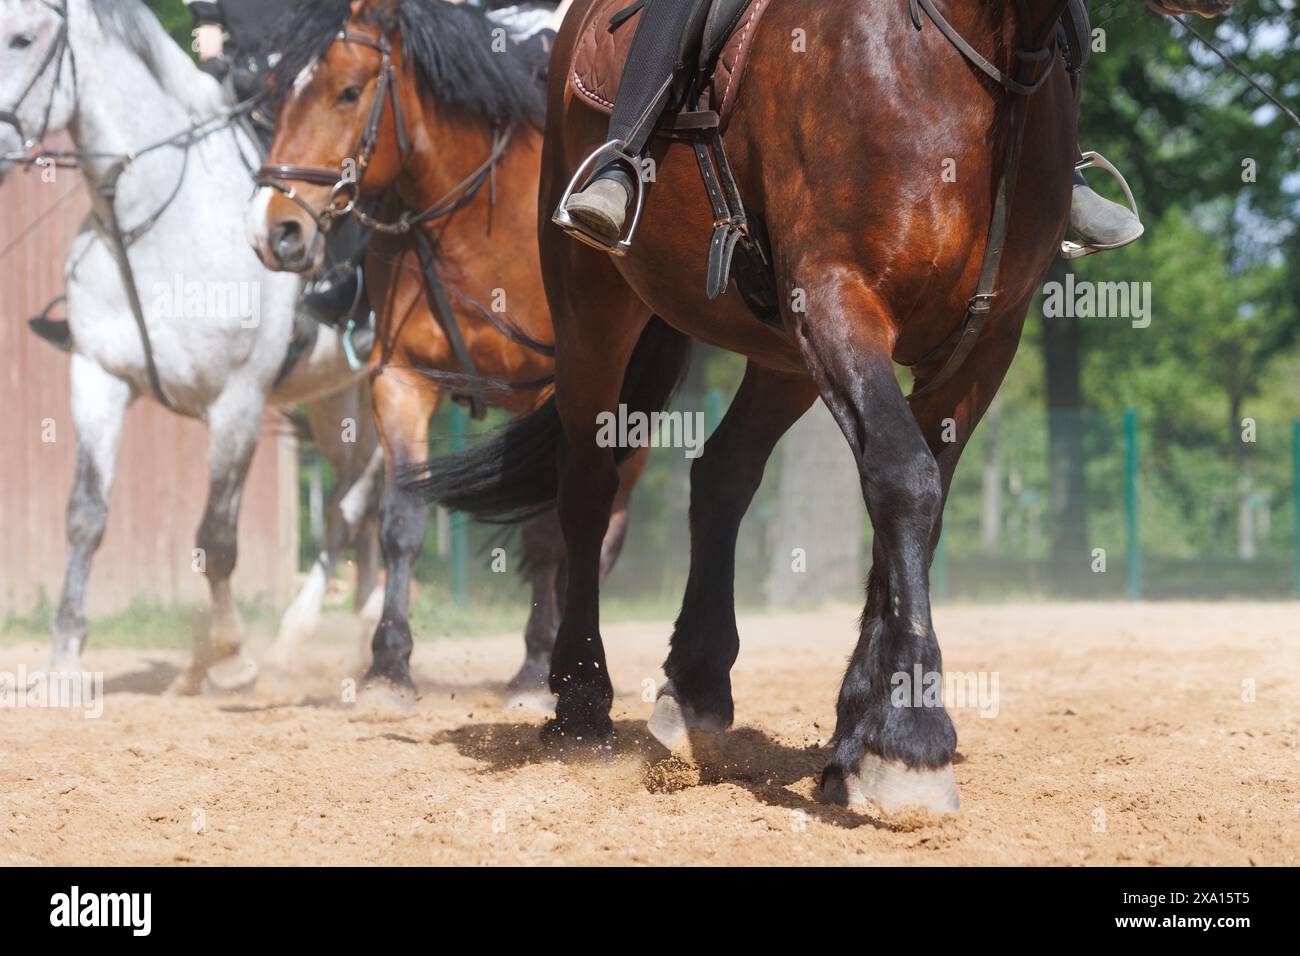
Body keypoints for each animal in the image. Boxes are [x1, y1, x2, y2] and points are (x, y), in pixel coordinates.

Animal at [0, 0, 384, 693]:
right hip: (337, 396)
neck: (156, 217)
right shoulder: (97, 380)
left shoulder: (237, 404)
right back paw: (351, 625)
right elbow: (85, 516)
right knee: (354, 498)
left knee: (370, 498)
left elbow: (219, 535)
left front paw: (228, 656)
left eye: (21, 39)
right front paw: (64, 655)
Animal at [248, 0, 647, 703]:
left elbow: (546, 533)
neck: (476, 230)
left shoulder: (551, 391)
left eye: (349, 91)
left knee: (605, 519)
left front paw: (535, 667)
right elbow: (401, 518)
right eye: (277, 90)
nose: (277, 231)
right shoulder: (399, 381)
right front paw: (388, 664)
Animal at [410, 0, 1235, 811]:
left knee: (722, 475)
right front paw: (912, 738)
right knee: (585, 490)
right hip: (595, 307)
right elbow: (904, 479)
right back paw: (580, 707)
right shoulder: (839, 295)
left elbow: (917, 507)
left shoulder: (985, 340)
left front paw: (860, 737)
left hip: (782, 355)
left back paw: (696, 685)